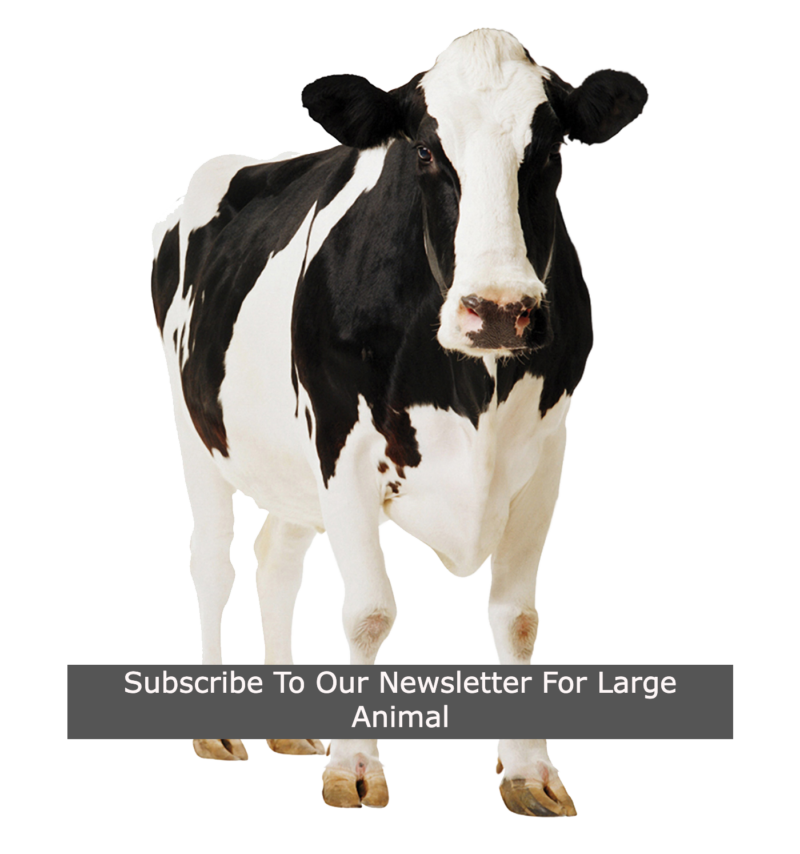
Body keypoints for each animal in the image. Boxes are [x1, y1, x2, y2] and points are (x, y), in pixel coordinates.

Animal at [150, 27, 647, 816]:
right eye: (423, 152)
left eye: (549, 151)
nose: (499, 309)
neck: (470, 384)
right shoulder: (343, 446)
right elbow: (368, 611)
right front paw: (355, 765)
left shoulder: (546, 456)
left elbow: (517, 615)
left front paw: (530, 769)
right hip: (194, 426)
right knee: (212, 561)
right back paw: (218, 730)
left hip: (293, 468)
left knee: (275, 558)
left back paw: (287, 728)